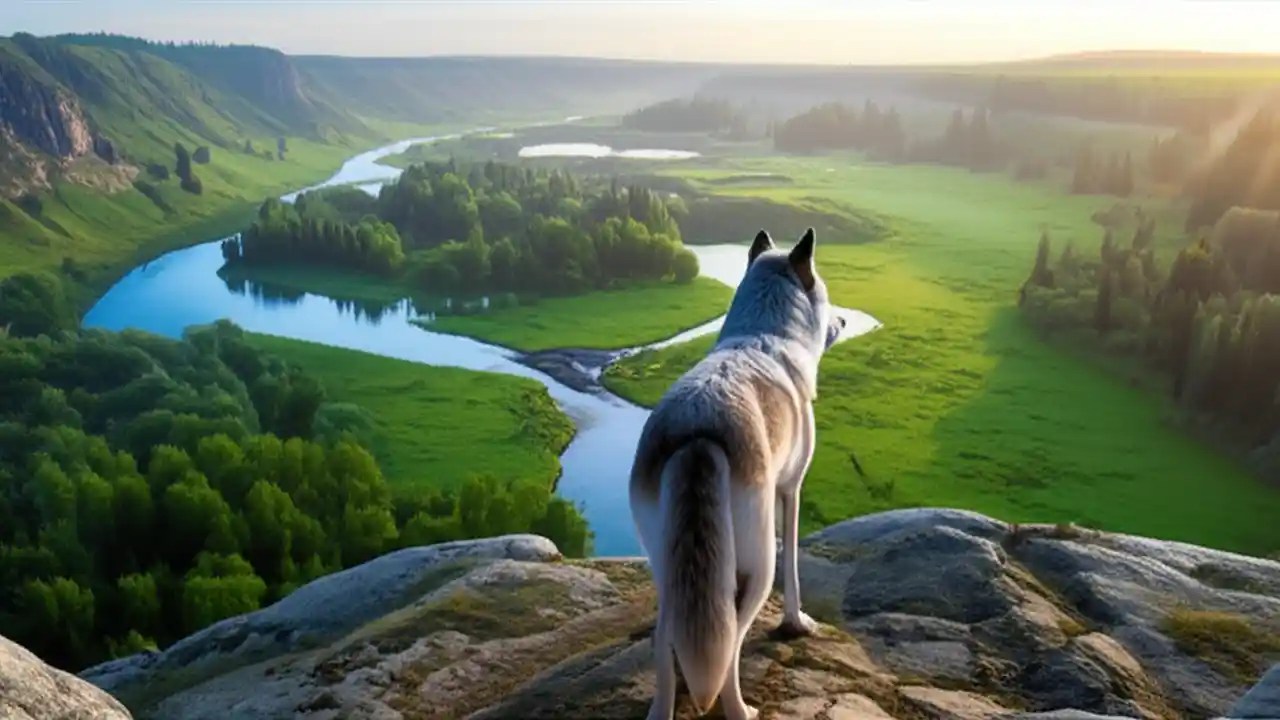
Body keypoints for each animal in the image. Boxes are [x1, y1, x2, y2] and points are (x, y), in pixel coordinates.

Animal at [629, 228, 846, 720]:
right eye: (826, 297)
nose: (845, 321)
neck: (762, 333)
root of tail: (699, 429)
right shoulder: (792, 491)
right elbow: (795, 573)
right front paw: (797, 623)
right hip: (756, 560)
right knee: (730, 643)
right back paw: (740, 708)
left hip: (668, 564)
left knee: (665, 636)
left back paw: (663, 706)